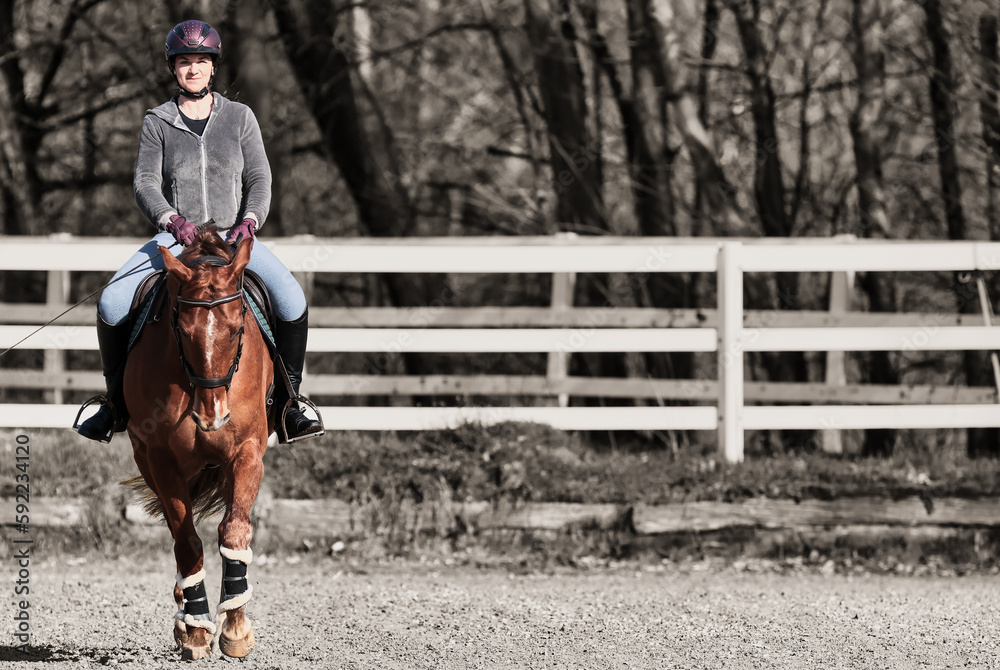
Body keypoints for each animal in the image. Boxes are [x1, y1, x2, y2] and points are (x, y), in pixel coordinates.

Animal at [122, 227, 273, 660]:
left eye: (238, 328)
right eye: (182, 331)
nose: (212, 418)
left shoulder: (248, 453)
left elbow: (234, 530)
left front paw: (236, 629)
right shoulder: (161, 461)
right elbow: (187, 542)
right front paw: (195, 631)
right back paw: (188, 614)